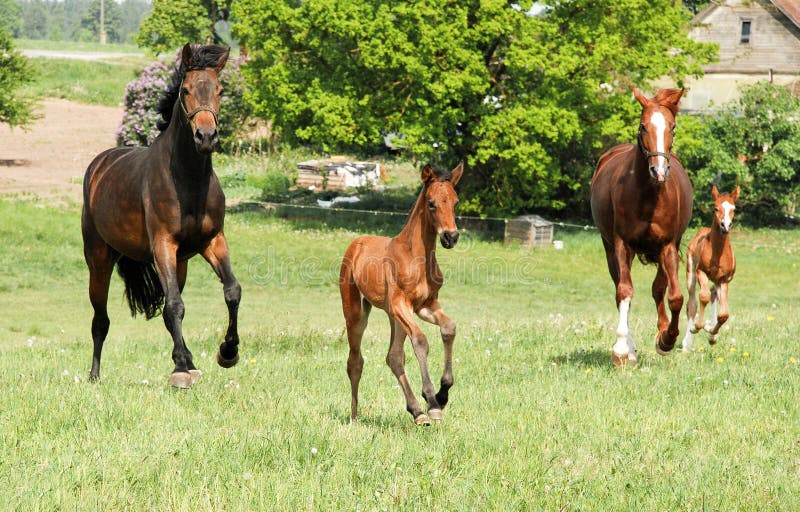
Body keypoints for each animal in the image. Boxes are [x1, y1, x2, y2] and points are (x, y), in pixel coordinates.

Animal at [81, 44, 241, 388]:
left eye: (220, 90)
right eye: (185, 90)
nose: (206, 136)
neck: (188, 180)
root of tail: (99, 166)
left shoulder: (213, 242)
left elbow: (231, 291)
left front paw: (227, 352)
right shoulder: (163, 246)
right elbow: (174, 306)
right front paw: (180, 369)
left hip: (180, 264)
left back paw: (191, 361)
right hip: (99, 260)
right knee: (100, 319)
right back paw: (94, 375)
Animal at [339, 162, 463, 425]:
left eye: (455, 202)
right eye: (431, 203)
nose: (451, 237)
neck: (416, 257)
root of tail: (357, 243)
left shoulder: (426, 305)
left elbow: (449, 328)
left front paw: (442, 395)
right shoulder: (401, 305)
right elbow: (421, 341)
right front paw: (432, 402)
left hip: (393, 317)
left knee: (394, 357)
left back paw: (416, 412)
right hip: (356, 313)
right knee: (355, 361)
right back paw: (354, 416)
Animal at [590, 87, 693, 366]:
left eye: (673, 127)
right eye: (643, 126)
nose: (659, 170)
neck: (649, 194)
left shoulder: (668, 246)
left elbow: (674, 296)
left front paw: (667, 339)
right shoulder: (621, 245)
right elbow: (624, 292)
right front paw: (622, 349)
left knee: (659, 289)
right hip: (609, 249)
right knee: (620, 290)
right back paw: (630, 347)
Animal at [682, 185, 739, 351]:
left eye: (734, 209)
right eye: (715, 208)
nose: (725, 226)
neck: (718, 252)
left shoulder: (724, 279)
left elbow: (724, 314)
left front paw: (712, 333)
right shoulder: (701, 272)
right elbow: (703, 297)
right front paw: (697, 327)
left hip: (716, 280)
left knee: (714, 295)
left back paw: (712, 334)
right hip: (691, 273)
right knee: (692, 304)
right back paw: (687, 342)